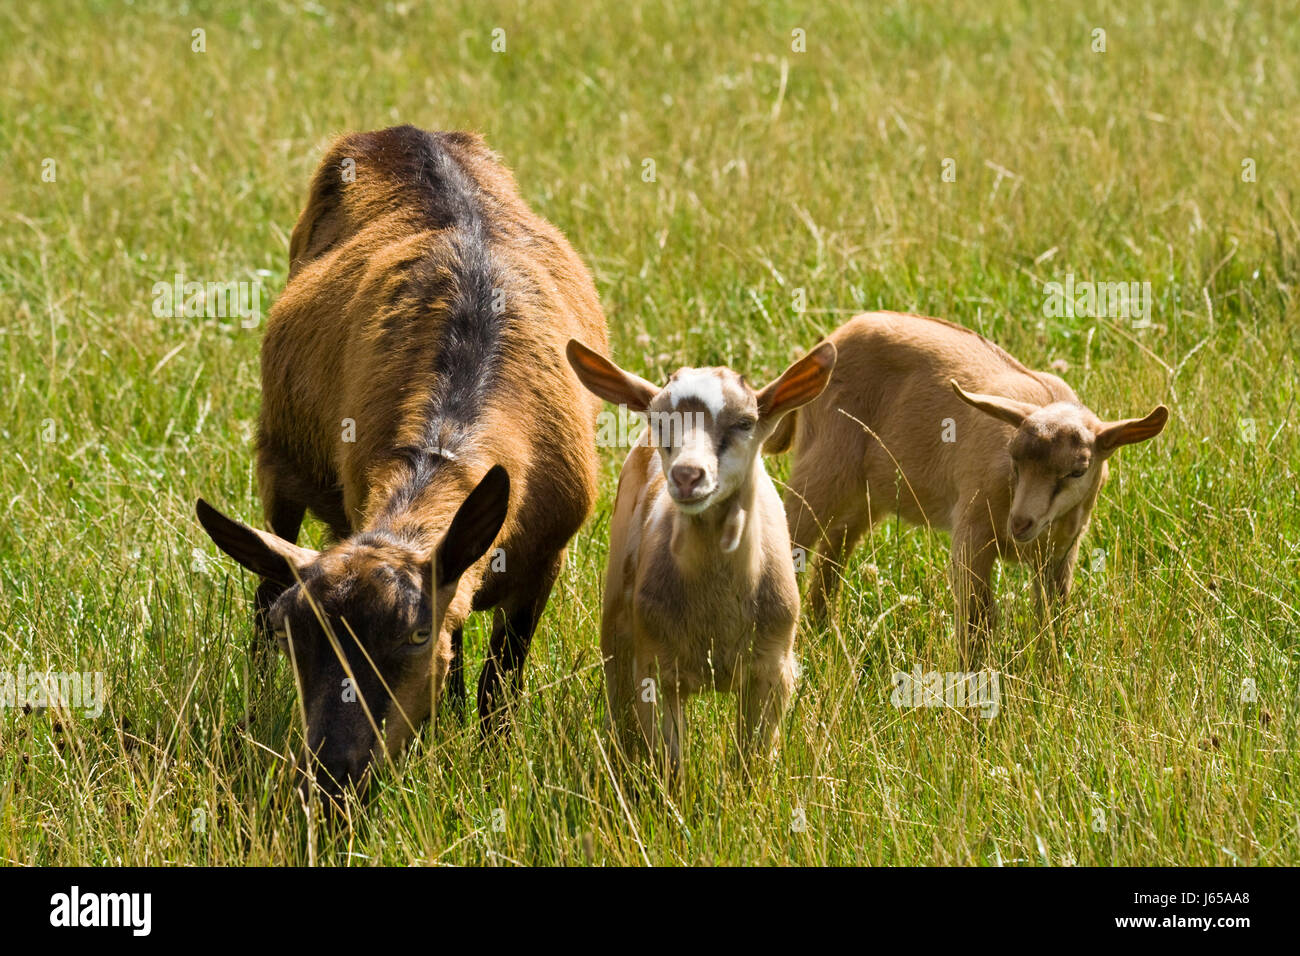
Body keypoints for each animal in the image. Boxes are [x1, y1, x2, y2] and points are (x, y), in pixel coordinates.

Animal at [196, 126, 608, 801]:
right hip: (278, 456)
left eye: (415, 635)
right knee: (264, 571)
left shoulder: (547, 556)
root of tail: (406, 132)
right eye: (297, 635)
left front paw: (488, 755)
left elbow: (499, 681)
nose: (331, 780)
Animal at [567, 339, 836, 776]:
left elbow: (752, 764)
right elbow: (670, 763)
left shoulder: (772, 670)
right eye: (660, 421)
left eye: (745, 422)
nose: (687, 475)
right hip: (616, 623)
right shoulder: (656, 671)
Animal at [769, 312, 1167, 665]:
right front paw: (974, 677)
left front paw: (1052, 675)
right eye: (1014, 458)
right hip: (824, 464)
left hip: (866, 493)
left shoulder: (1061, 553)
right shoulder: (972, 530)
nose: (1019, 523)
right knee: (793, 537)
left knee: (833, 550)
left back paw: (824, 630)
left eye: (1078, 470)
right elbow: (980, 616)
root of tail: (833, 339)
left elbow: (1052, 616)